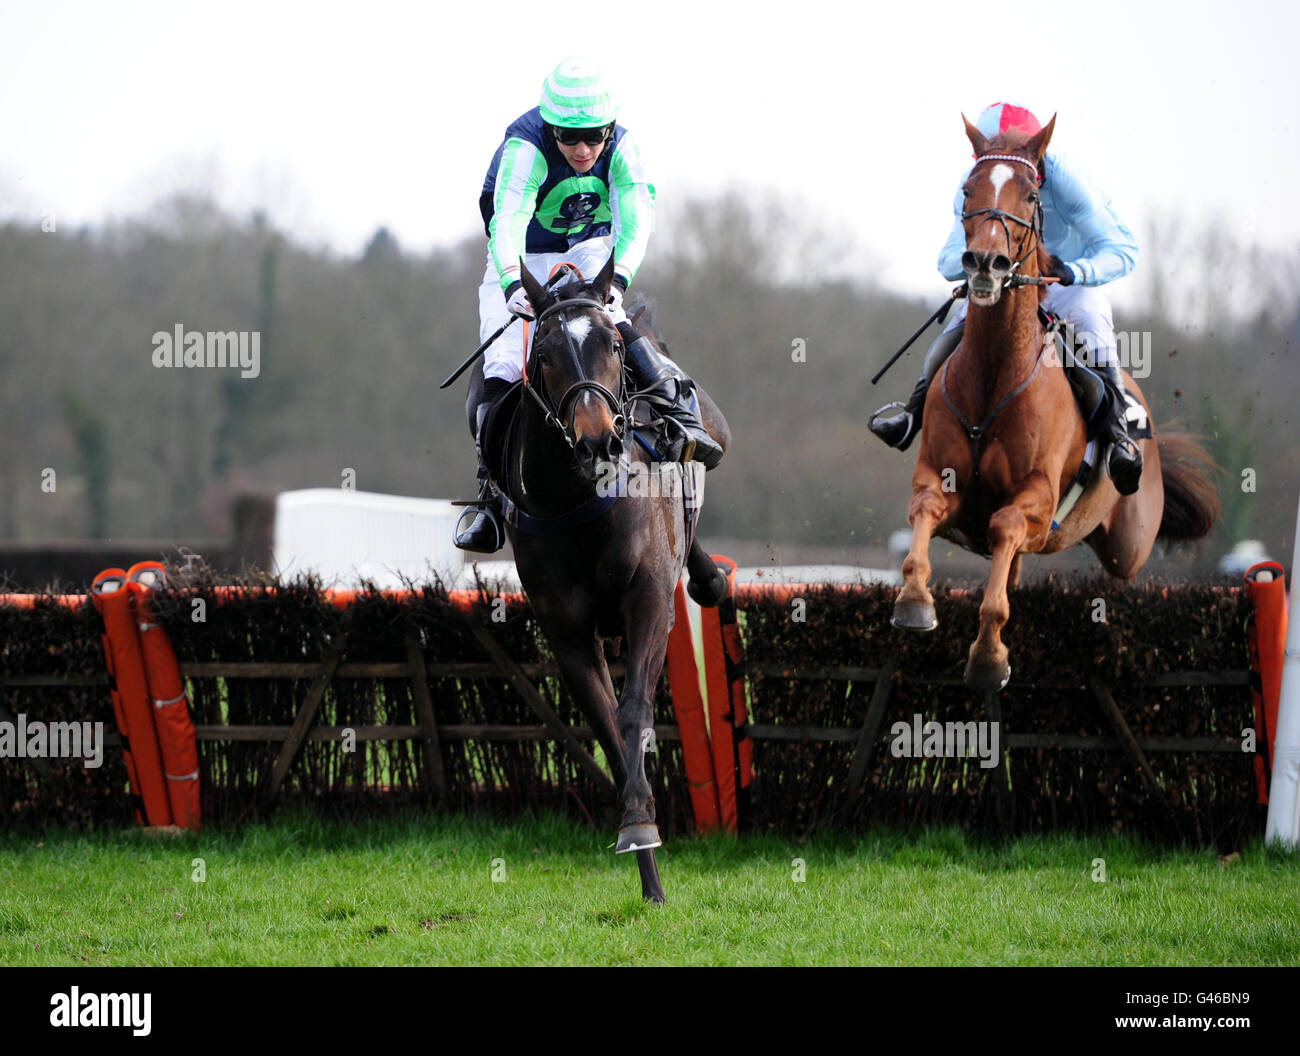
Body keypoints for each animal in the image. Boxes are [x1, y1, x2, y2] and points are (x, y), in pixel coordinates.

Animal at [488, 254, 730, 903]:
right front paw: (641, 840)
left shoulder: (647, 604)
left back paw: (710, 577)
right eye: (545, 353)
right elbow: (609, 735)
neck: (578, 499)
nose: (599, 439)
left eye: (614, 347)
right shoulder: (570, 637)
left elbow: (633, 713)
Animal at [892, 115, 1220, 690]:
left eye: (1030, 193)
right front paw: (914, 601)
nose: (985, 263)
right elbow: (926, 508)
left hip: (1129, 544)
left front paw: (988, 655)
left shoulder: (1038, 498)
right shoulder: (939, 478)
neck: (995, 375)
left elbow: (1004, 527)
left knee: (1122, 563)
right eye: (967, 190)